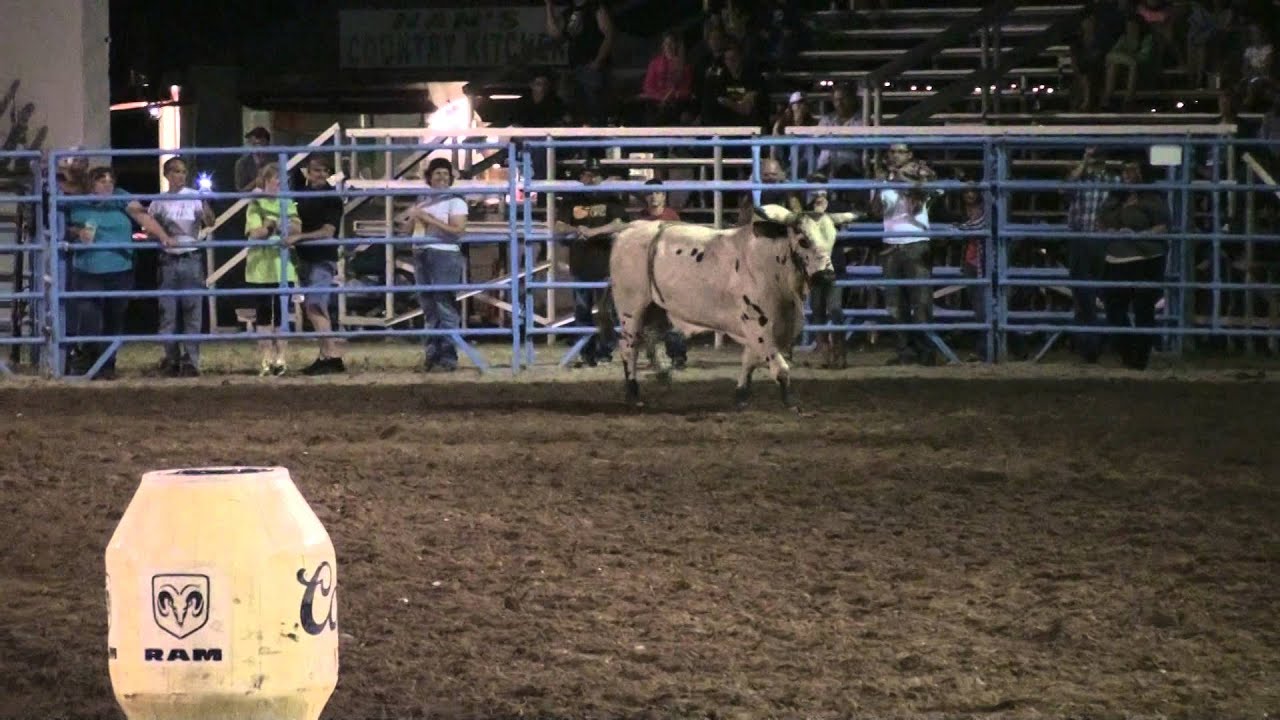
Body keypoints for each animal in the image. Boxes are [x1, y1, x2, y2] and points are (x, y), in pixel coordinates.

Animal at [601, 204, 842, 409]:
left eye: (832, 240)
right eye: (803, 240)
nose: (827, 276)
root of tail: (630, 228)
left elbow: (749, 361)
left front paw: (741, 395)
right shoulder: (757, 324)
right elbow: (779, 366)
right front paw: (790, 401)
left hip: (658, 309)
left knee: (651, 340)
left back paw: (663, 374)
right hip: (630, 309)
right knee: (629, 348)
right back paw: (633, 394)